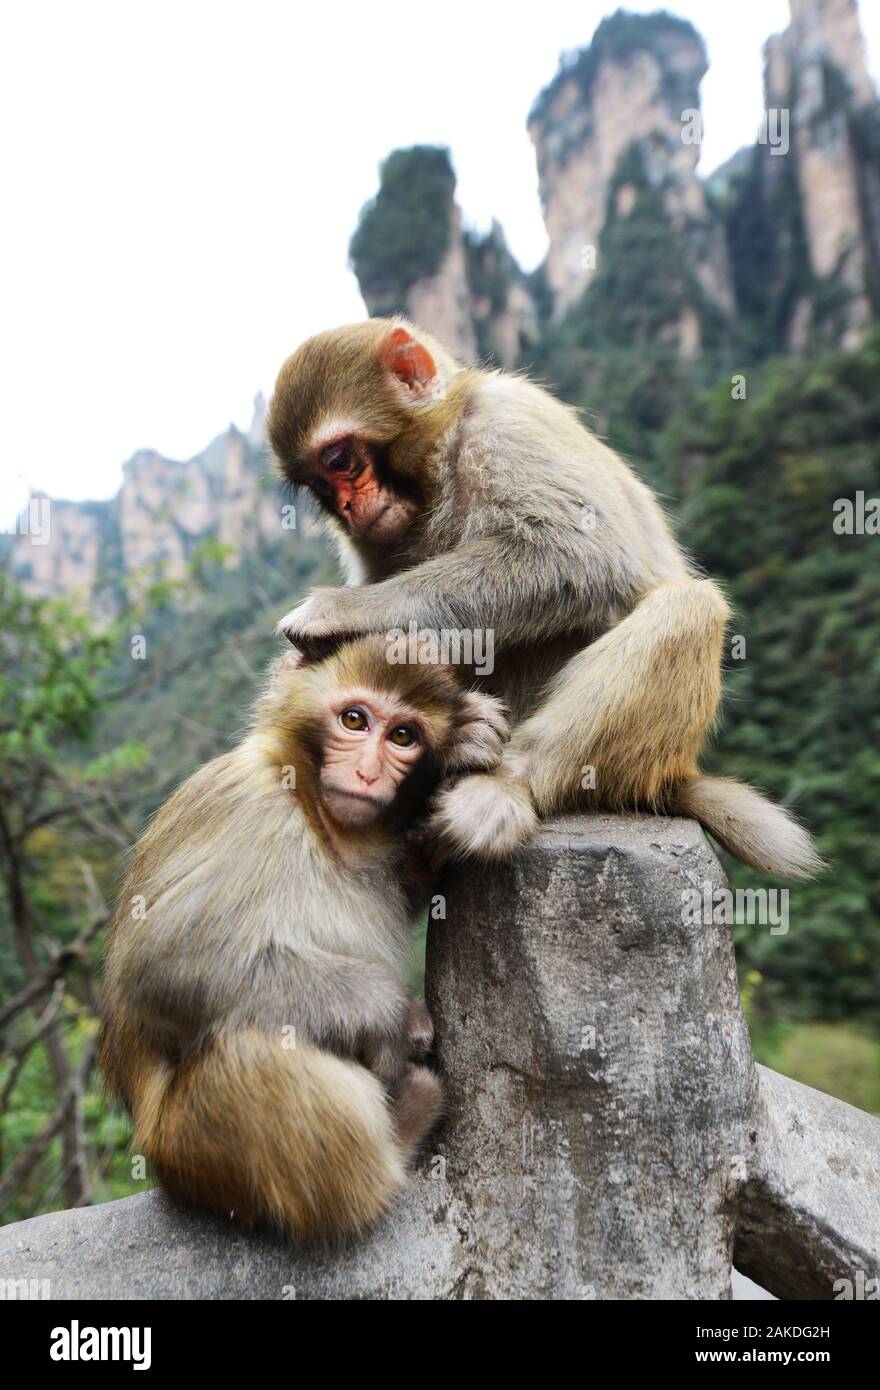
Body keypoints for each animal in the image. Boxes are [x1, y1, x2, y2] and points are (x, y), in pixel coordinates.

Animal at [100, 635, 509, 1243]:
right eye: (354, 720)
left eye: (403, 736)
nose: (367, 773)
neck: (315, 814)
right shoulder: (239, 808)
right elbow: (164, 965)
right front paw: (394, 1016)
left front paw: (470, 741)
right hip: (193, 1151)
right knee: (257, 1049)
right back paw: (401, 1131)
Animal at [266, 317, 821, 880]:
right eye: (318, 485)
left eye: (340, 460)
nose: (347, 507)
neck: (443, 455)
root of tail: (673, 775)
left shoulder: (505, 423)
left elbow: (577, 556)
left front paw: (342, 613)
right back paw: (465, 742)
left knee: (687, 607)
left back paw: (506, 784)